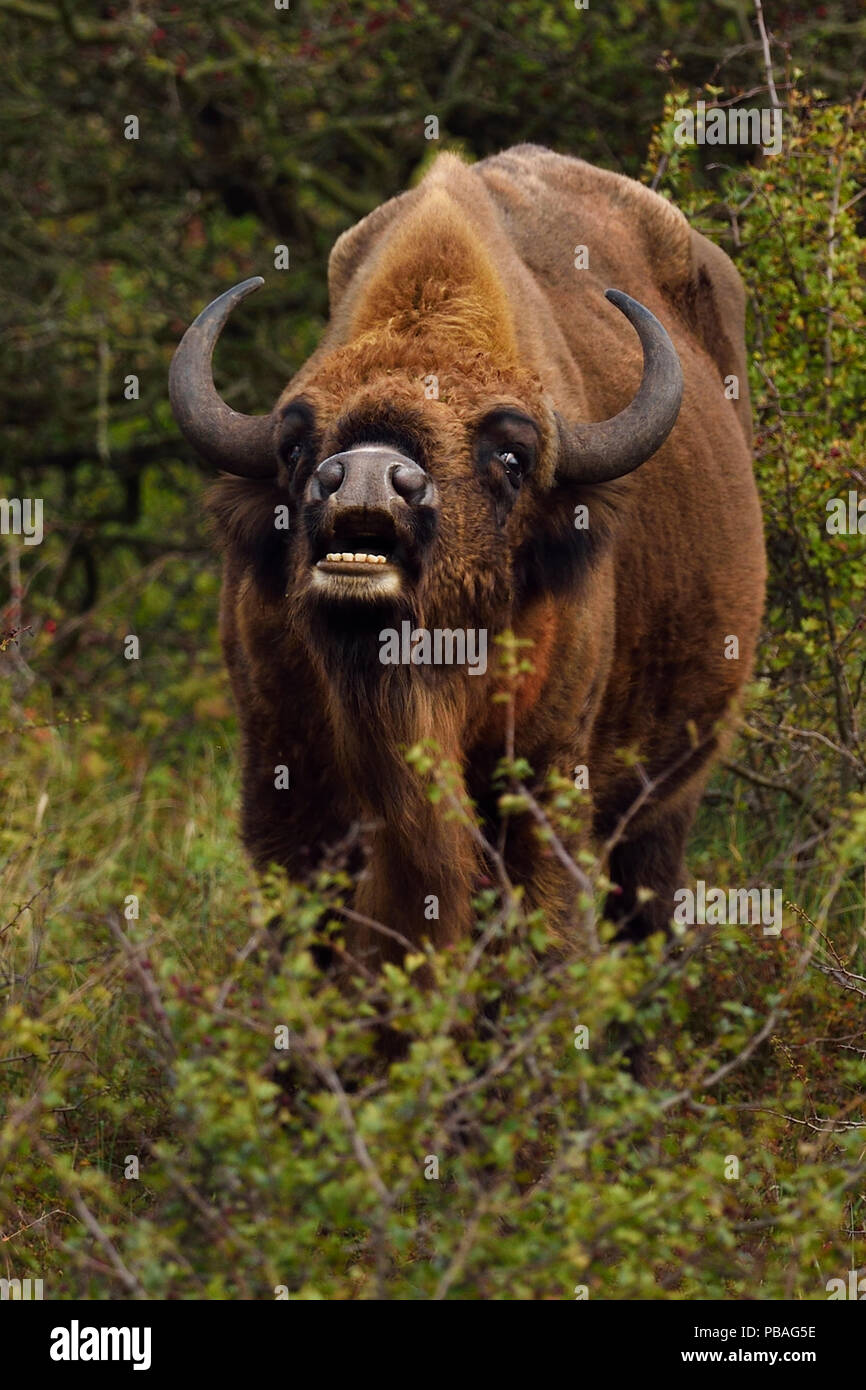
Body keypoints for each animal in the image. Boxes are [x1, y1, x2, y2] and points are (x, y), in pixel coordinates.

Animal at [170, 144, 766, 960]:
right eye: (294, 446)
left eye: (511, 457)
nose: (366, 476)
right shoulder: (280, 768)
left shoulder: (542, 777)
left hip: (668, 799)